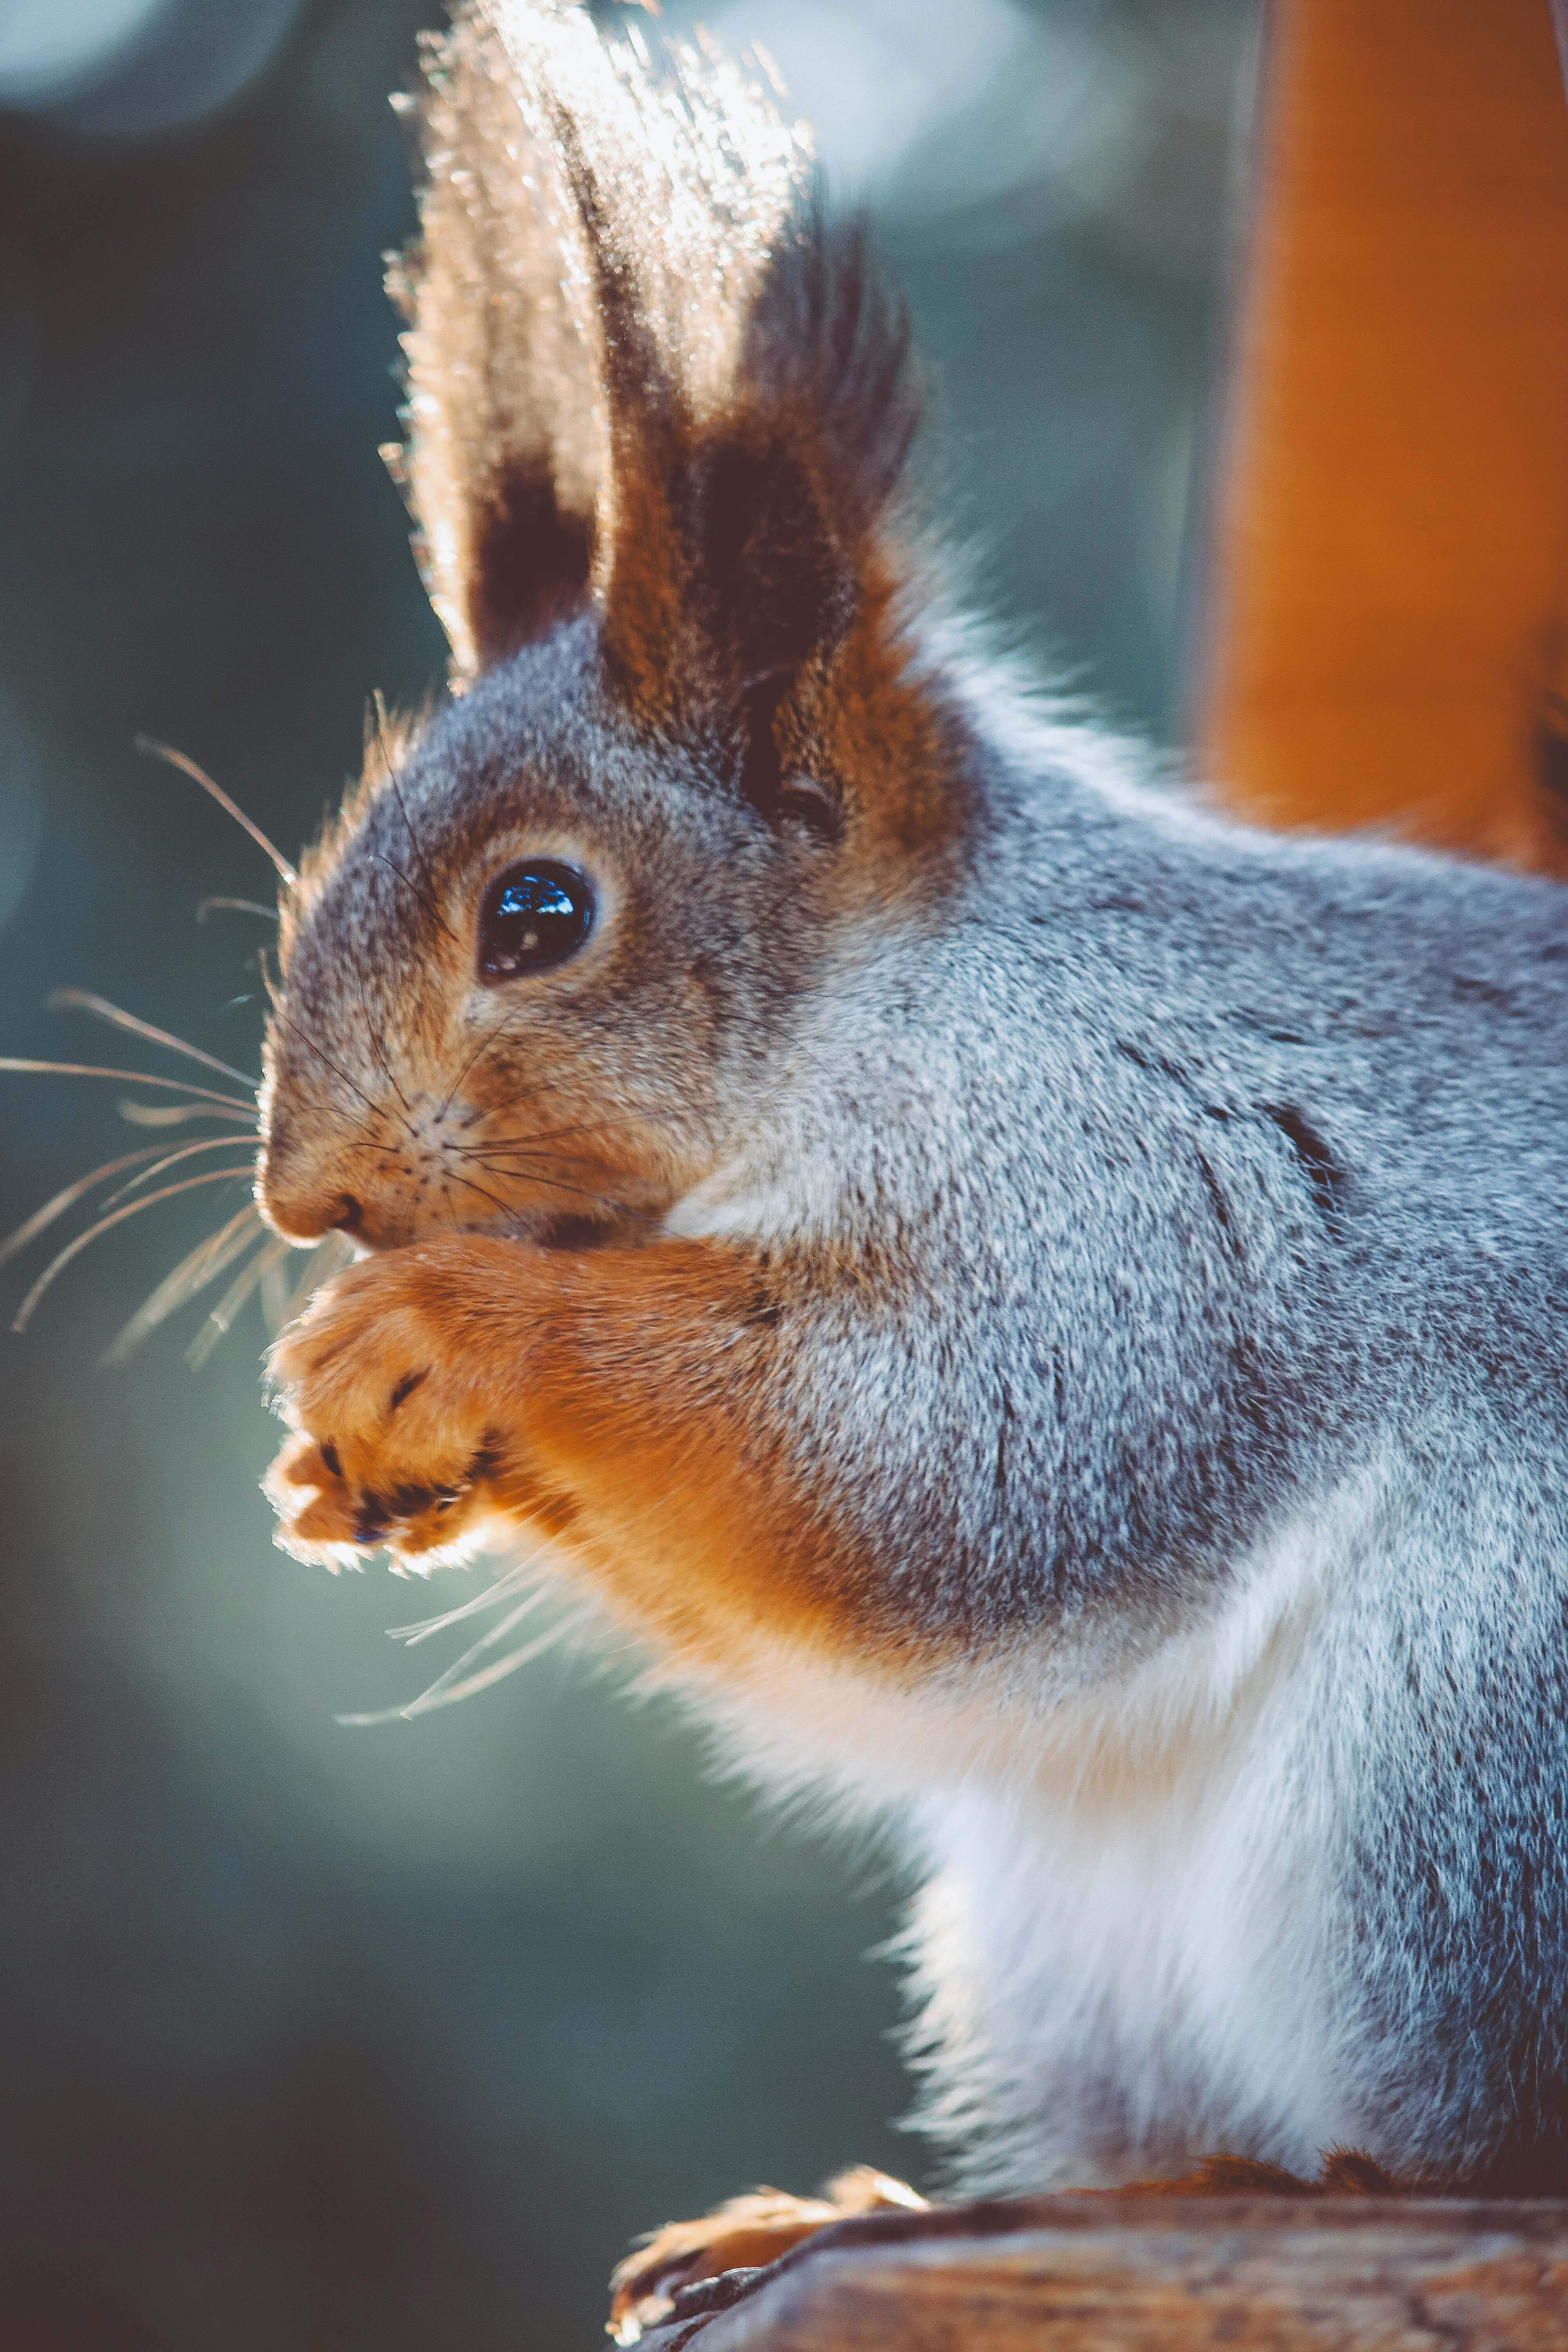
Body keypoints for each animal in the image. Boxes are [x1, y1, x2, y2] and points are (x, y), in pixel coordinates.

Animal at [254, 0, 1568, 2326]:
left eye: (536, 915)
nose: (297, 1192)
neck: (903, 1012)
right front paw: (349, 1449)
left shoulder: (1149, 1206)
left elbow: (942, 1479)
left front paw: (456, 1326)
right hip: (1071, 1943)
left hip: (1461, 1777)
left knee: (1470, 2147)